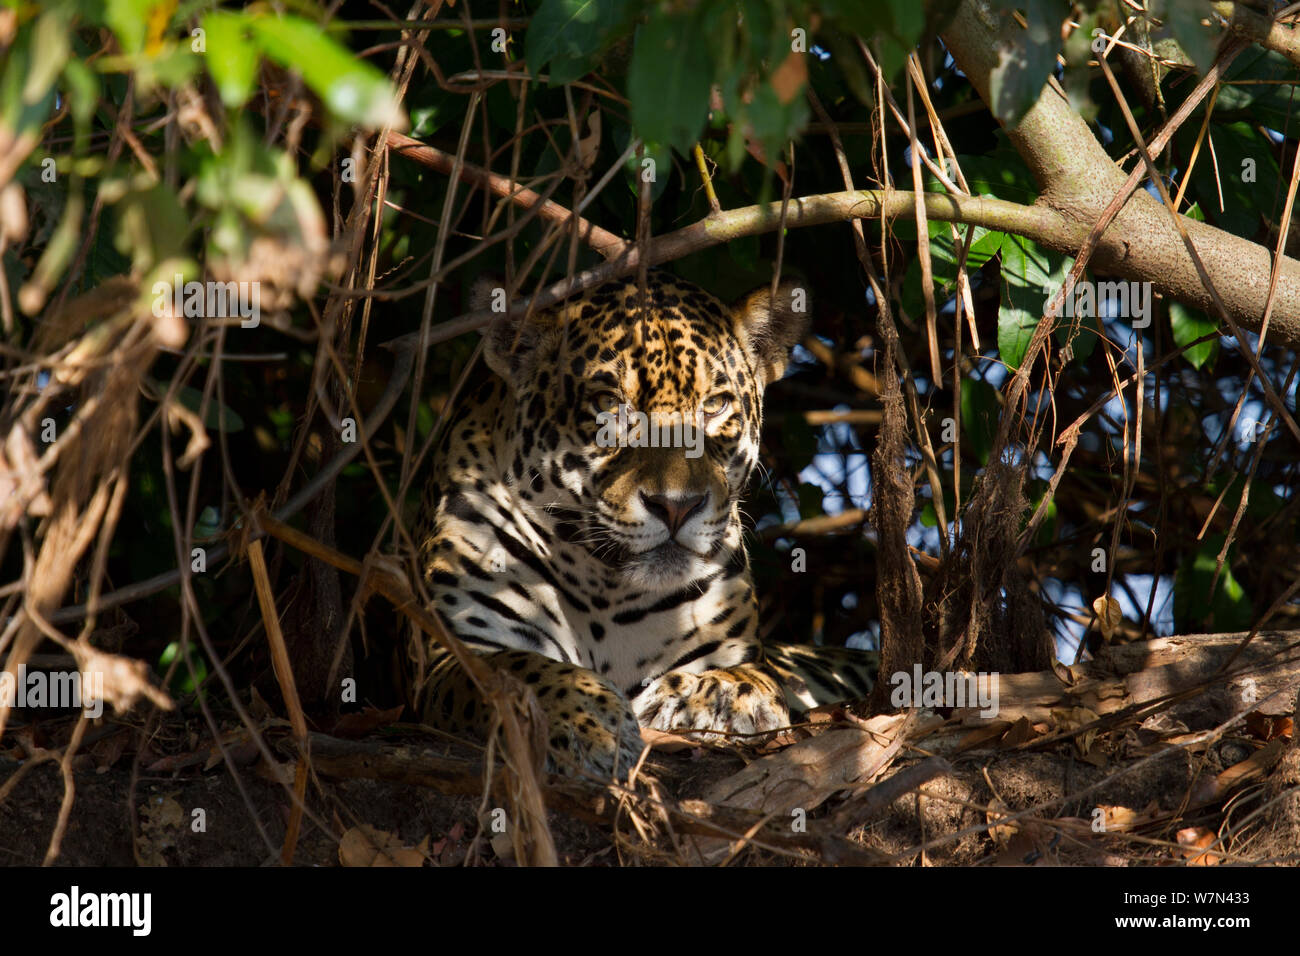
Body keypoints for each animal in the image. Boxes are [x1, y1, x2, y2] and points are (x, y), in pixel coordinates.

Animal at [411, 272, 877, 779]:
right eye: (607, 403)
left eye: (715, 405)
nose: (676, 506)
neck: (604, 589)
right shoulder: (450, 652)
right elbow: (519, 669)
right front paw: (587, 718)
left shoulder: (737, 649)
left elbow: (753, 676)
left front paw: (714, 696)